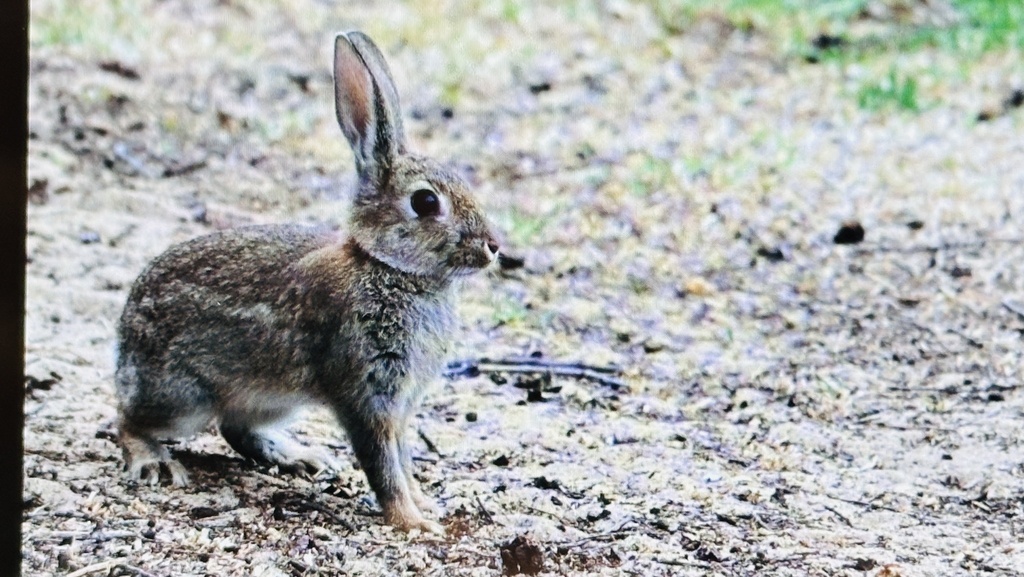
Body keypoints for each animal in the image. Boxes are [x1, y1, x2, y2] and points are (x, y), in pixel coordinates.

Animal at [113, 30, 499, 534]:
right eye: (426, 202)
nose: (493, 246)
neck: (389, 269)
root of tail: (124, 342)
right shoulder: (365, 393)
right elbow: (383, 464)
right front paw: (413, 523)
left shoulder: (399, 404)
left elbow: (403, 458)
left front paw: (425, 505)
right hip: (183, 398)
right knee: (129, 421)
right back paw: (154, 460)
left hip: (272, 398)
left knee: (235, 428)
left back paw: (296, 457)